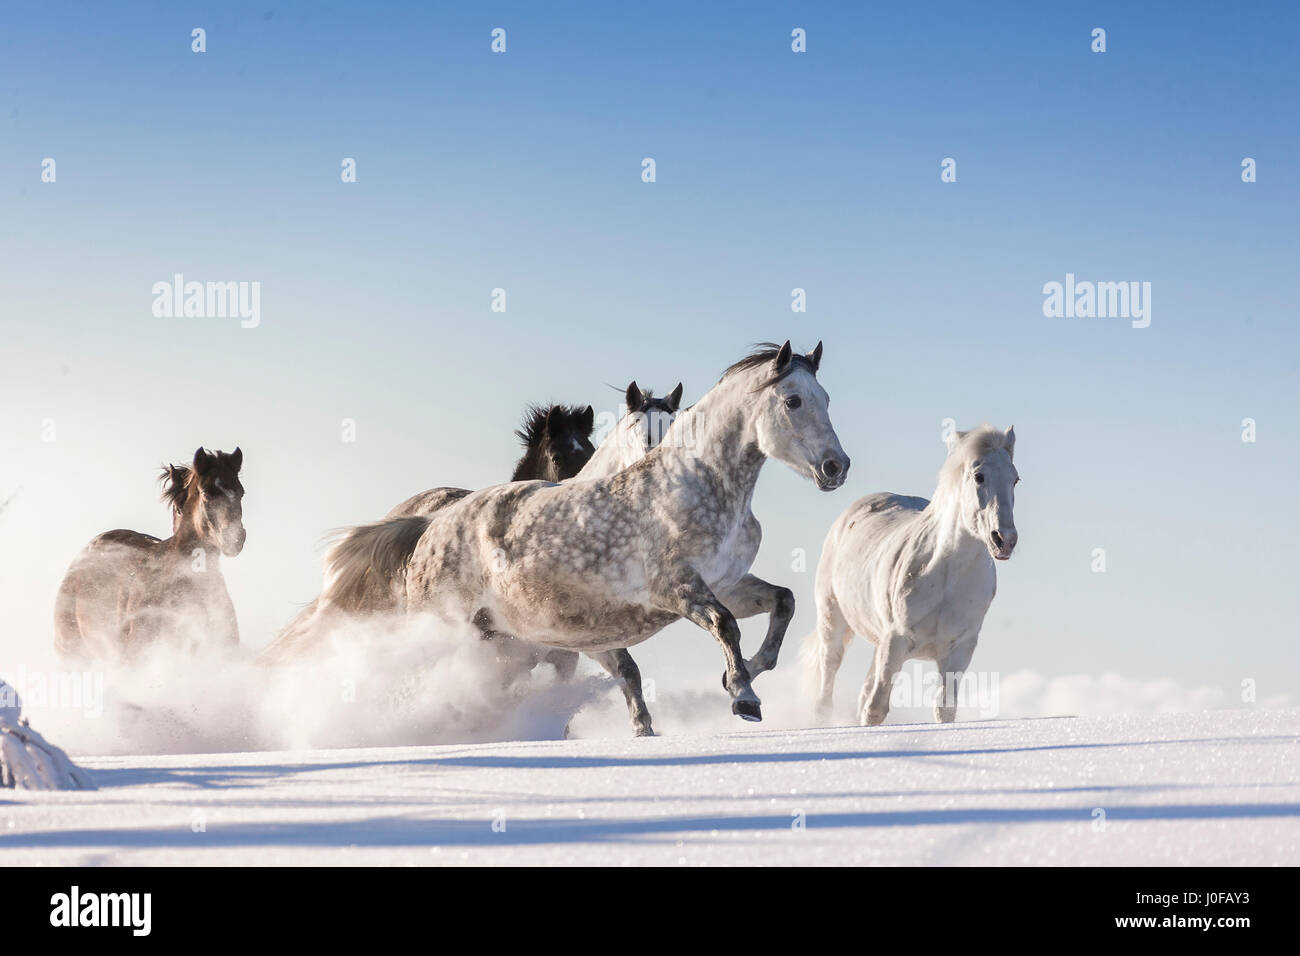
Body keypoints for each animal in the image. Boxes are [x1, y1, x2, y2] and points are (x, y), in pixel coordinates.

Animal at [327, 342, 849, 734]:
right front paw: (744, 698)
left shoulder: (725, 583)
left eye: (826, 397)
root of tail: (430, 527)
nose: (836, 467)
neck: (701, 484)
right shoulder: (675, 589)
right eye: (793, 401)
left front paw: (741, 677)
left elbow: (782, 602)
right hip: (449, 631)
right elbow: (726, 626)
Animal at [803, 425, 1018, 726]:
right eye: (979, 476)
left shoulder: (959, 651)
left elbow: (945, 710)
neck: (946, 575)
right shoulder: (896, 640)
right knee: (828, 684)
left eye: (1015, 480)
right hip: (833, 620)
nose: (1004, 540)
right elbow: (876, 709)